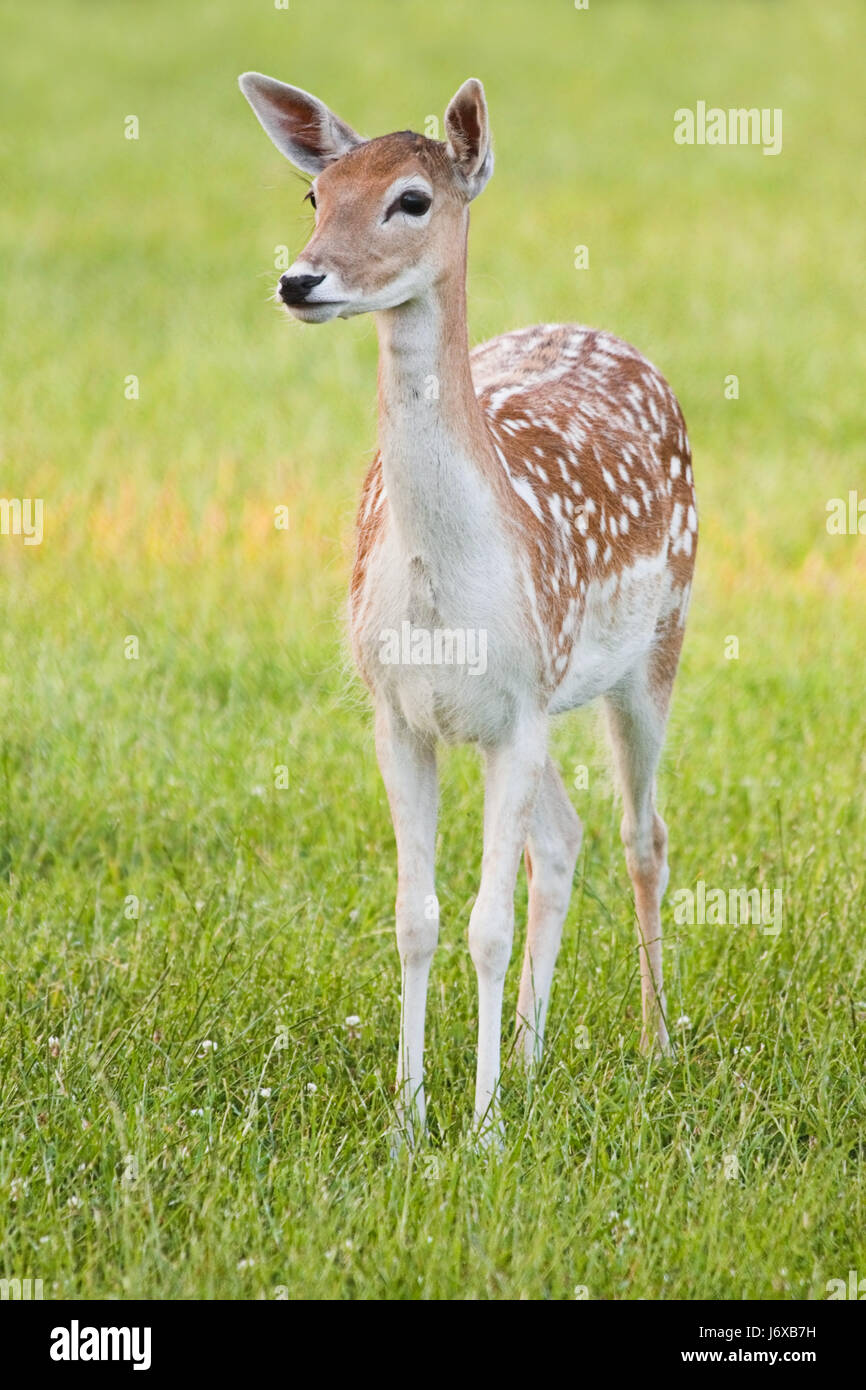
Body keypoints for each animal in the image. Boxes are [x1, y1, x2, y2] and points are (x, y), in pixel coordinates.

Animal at [239, 72, 698, 1147]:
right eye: (314, 196)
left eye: (411, 199)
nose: (300, 282)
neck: (446, 585)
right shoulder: (403, 710)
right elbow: (418, 916)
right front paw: (410, 1122)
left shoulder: (520, 705)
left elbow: (485, 924)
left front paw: (481, 1130)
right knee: (563, 839)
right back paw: (530, 1056)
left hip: (657, 638)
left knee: (642, 836)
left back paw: (653, 1044)